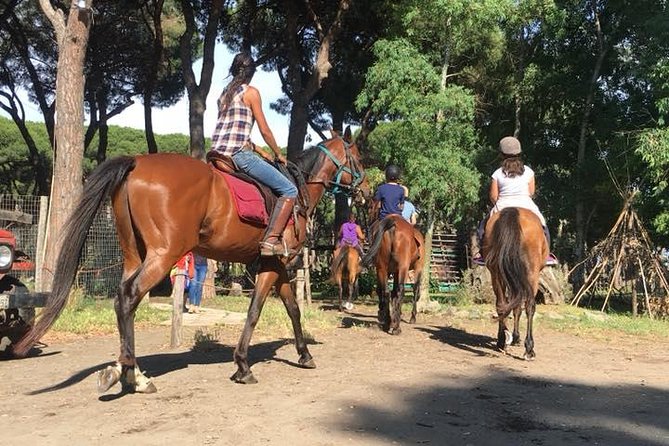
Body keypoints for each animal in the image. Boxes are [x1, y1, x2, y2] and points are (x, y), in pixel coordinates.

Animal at [14, 128, 369, 392]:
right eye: (359, 159)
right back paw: (131, 374)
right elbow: (255, 311)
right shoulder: (272, 264)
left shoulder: (277, 265)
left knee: (123, 301)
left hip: (134, 254)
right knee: (128, 297)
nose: (366, 189)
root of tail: (137, 162)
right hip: (162, 256)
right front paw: (243, 365)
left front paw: (304, 354)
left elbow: (293, 308)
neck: (296, 189)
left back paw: (128, 371)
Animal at [482, 207, 548, 359]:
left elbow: (513, 306)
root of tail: (514, 211)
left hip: (497, 272)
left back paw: (504, 341)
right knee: (529, 305)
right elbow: (518, 307)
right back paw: (528, 348)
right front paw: (516, 337)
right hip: (531, 272)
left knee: (502, 305)